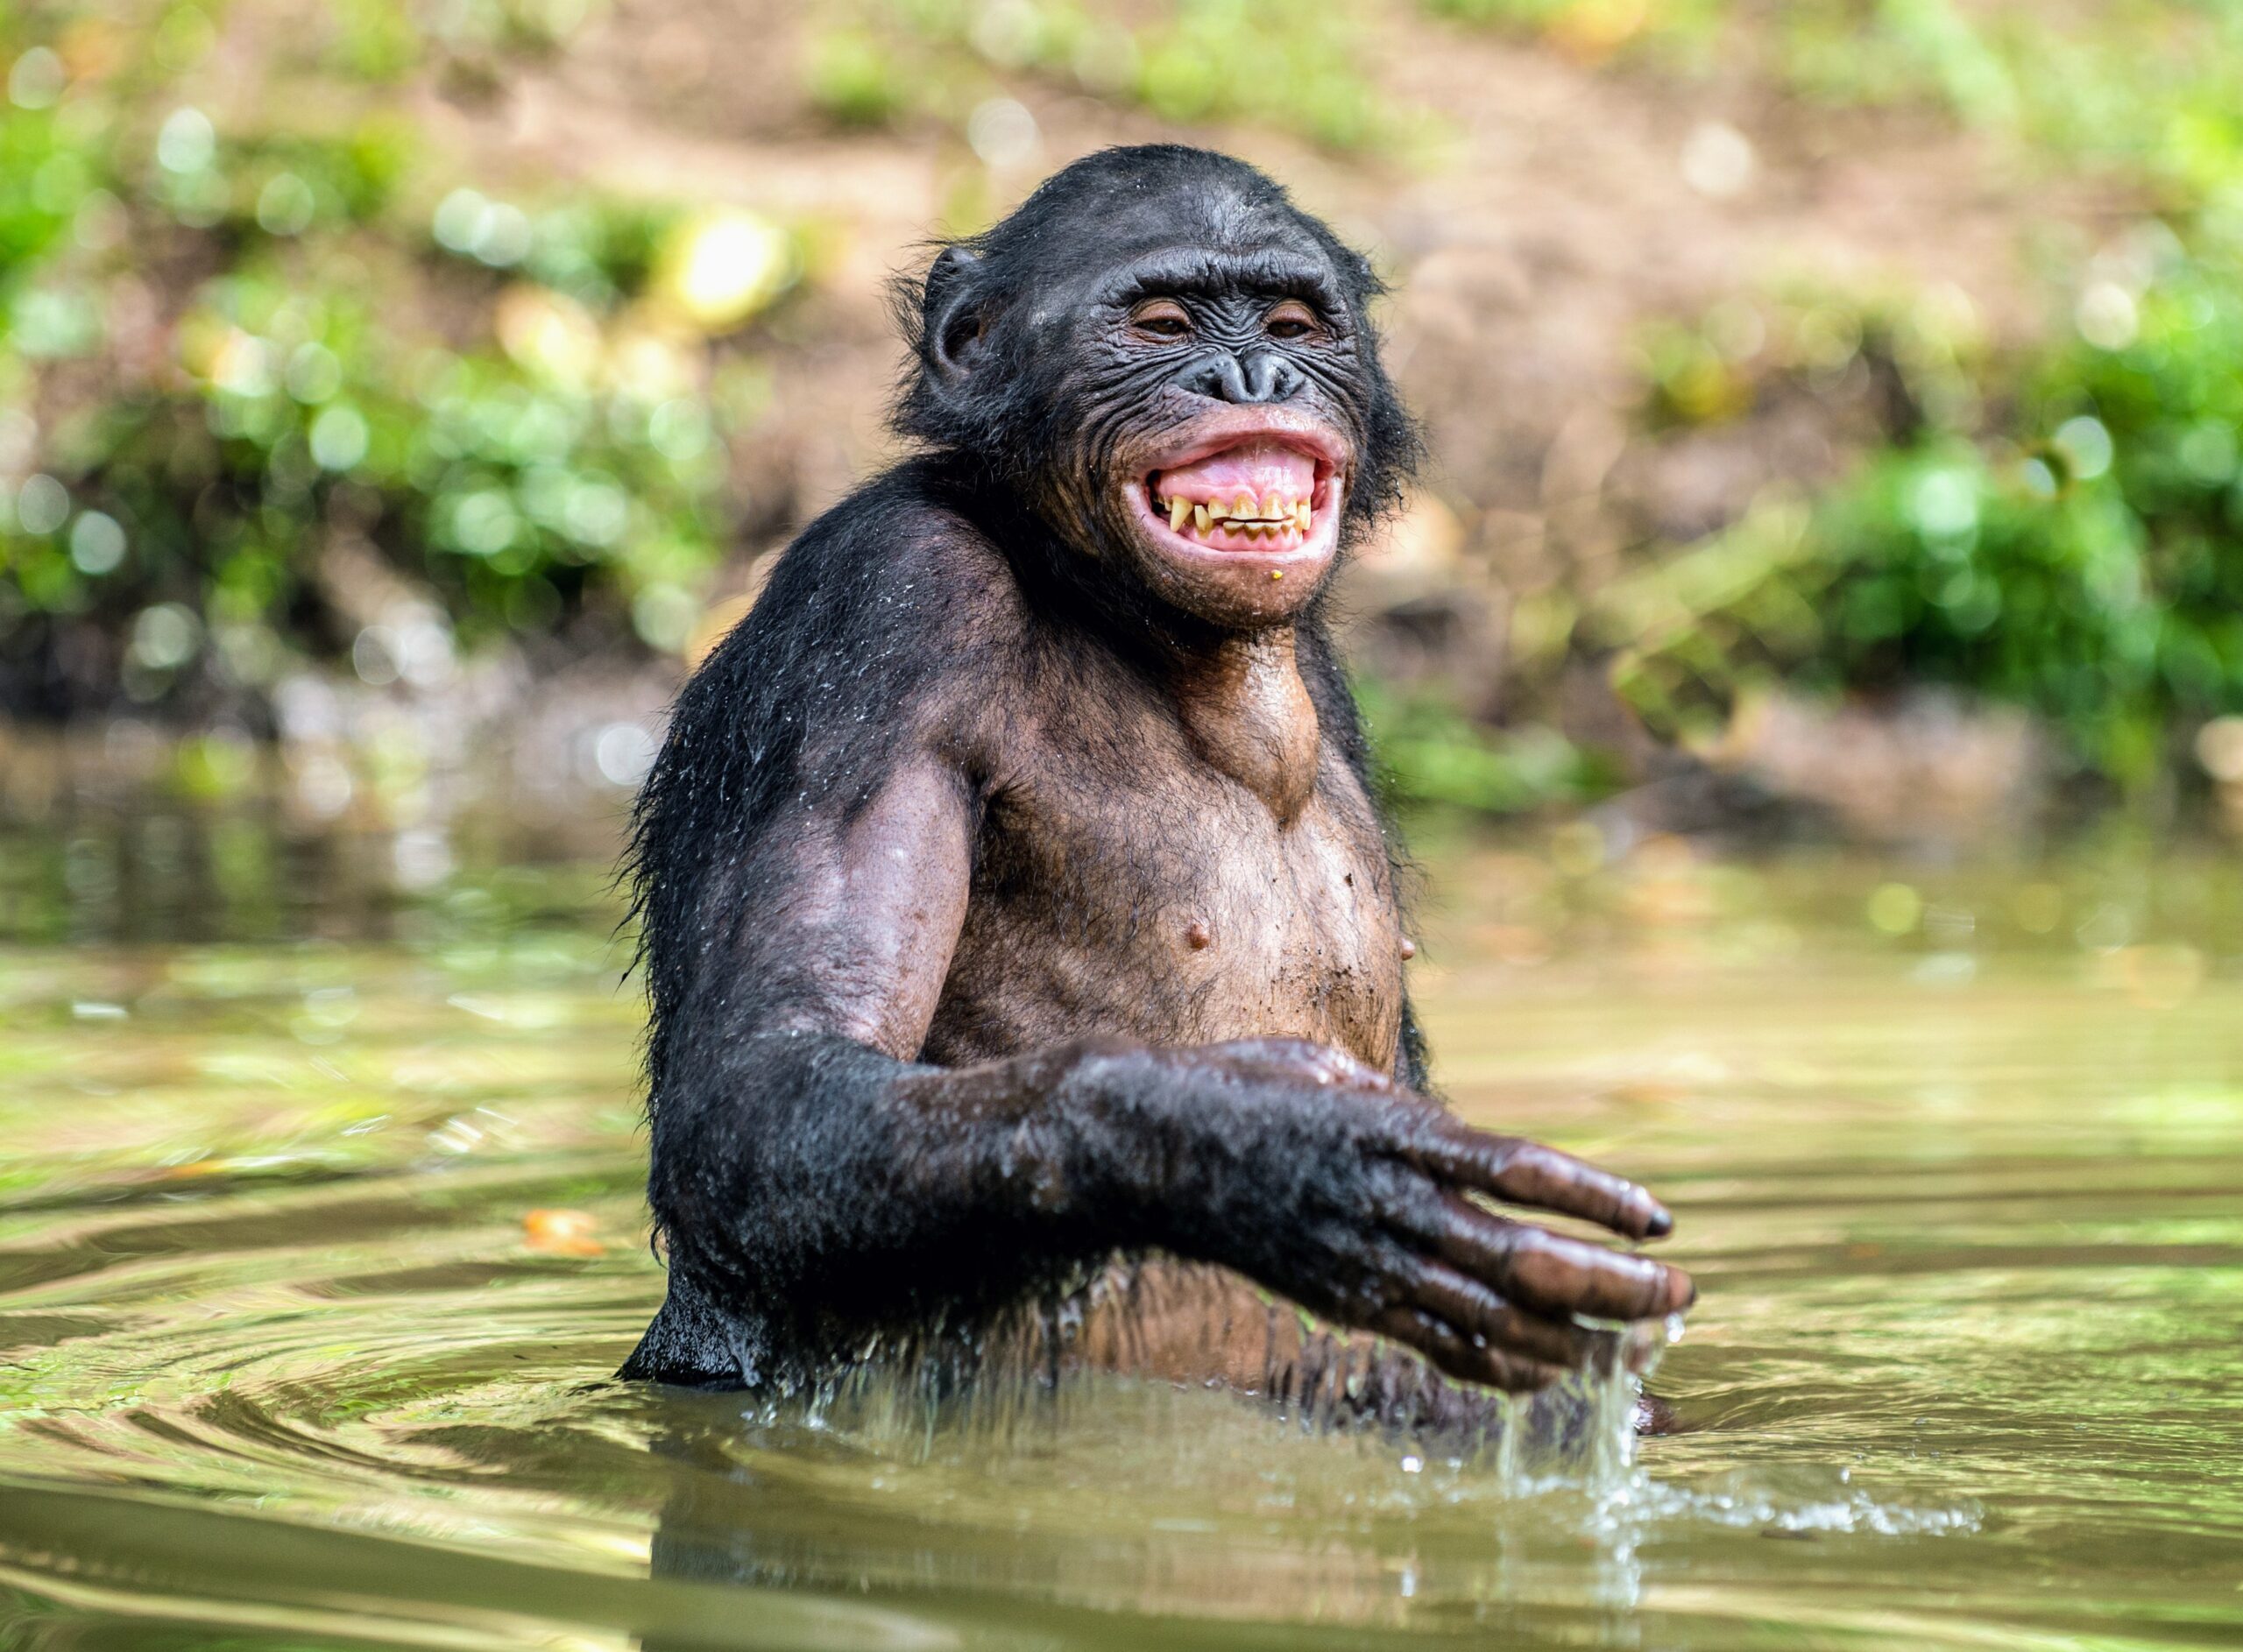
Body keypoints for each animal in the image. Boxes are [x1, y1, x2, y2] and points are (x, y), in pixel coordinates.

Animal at [618, 145, 1692, 1414]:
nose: (1253, 369)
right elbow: (761, 1096)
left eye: (1293, 321)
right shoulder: (881, 613)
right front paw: (1281, 1156)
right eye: (1163, 322)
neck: (1130, 615)